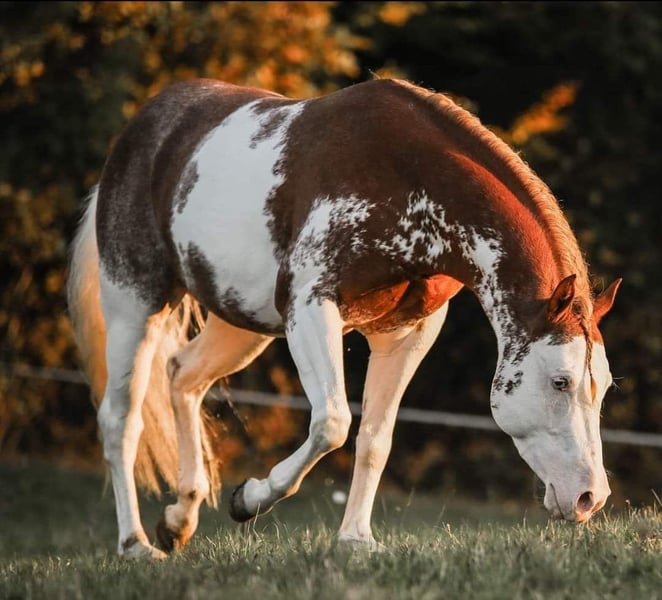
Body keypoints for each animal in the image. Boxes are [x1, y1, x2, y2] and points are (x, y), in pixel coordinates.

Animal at [67, 77, 621, 559]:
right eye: (560, 382)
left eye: (604, 389)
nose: (590, 499)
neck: (411, 179)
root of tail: (140, 132)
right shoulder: (311, 305)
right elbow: (333, 421)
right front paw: (249, 499)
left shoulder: (407, 331)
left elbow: (375, 437)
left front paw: (355, 540)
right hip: (135, 302)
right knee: (121, 418)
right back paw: (135, 544)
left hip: (242, 321)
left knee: (183, 376)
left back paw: (179, 521)